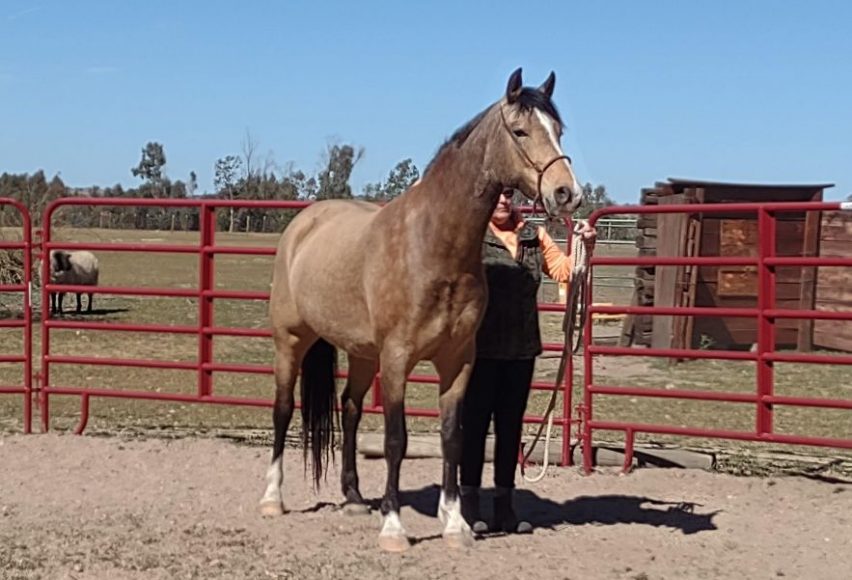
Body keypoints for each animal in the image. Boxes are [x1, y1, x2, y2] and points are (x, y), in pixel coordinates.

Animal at [259, 68, 584, 552]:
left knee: (349, 408)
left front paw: (456, 525)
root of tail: (303, 224)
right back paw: (272, 499)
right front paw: (394, 528)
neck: (433, 245)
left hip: (361, 353)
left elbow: (453, 438)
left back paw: (353, 497)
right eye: (521, 131)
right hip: (292, 341)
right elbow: (397, 439)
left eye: (559, 130)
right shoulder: (397, 359)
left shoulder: (459, 360)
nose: (567, 193)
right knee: (282, 409)